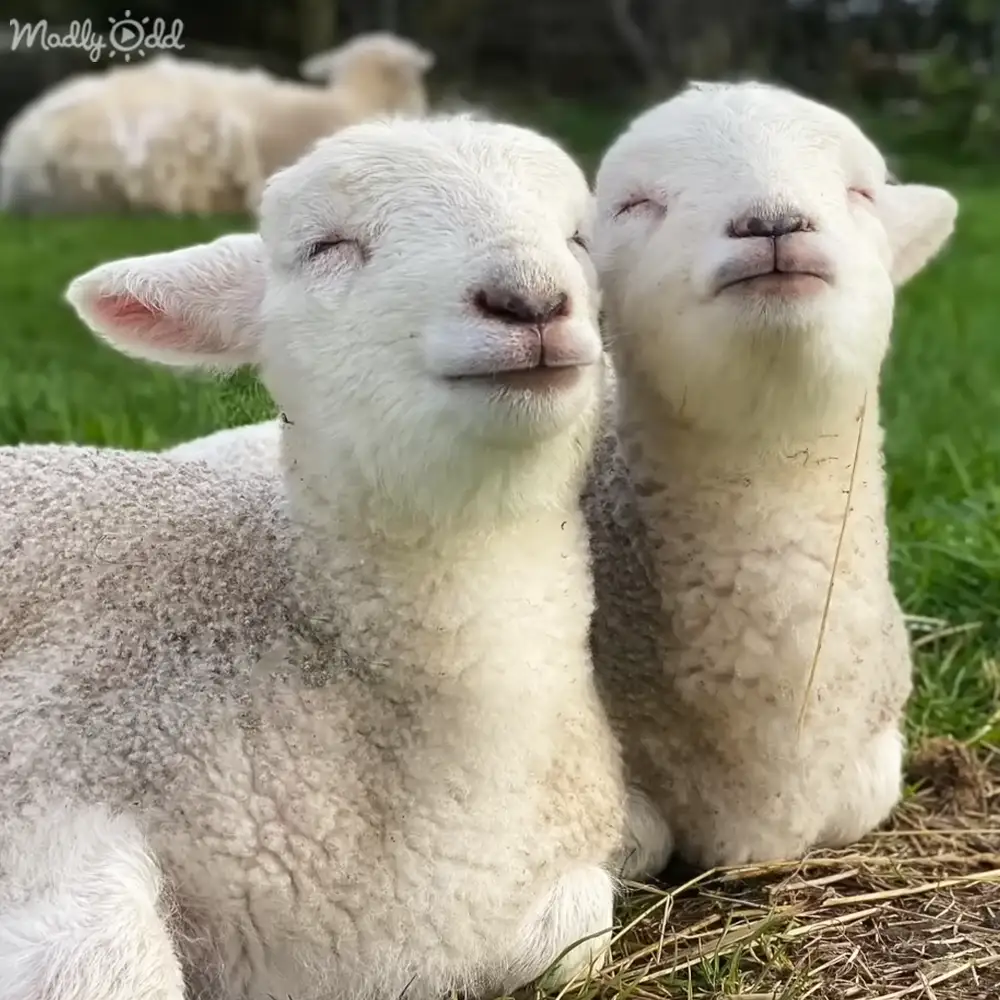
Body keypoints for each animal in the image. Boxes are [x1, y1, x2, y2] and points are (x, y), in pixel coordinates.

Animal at [0, 114, 626, 1000]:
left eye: (578, 236)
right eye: (326, 247)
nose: (532, 300)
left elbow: (577, 928)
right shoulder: (47, 780)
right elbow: (113, 967)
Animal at [583, 79, 958, 872]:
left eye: (861, 192)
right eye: (635, 205)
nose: (774, 224)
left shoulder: (874, 758)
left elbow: (867, 796)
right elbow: (636, 840)